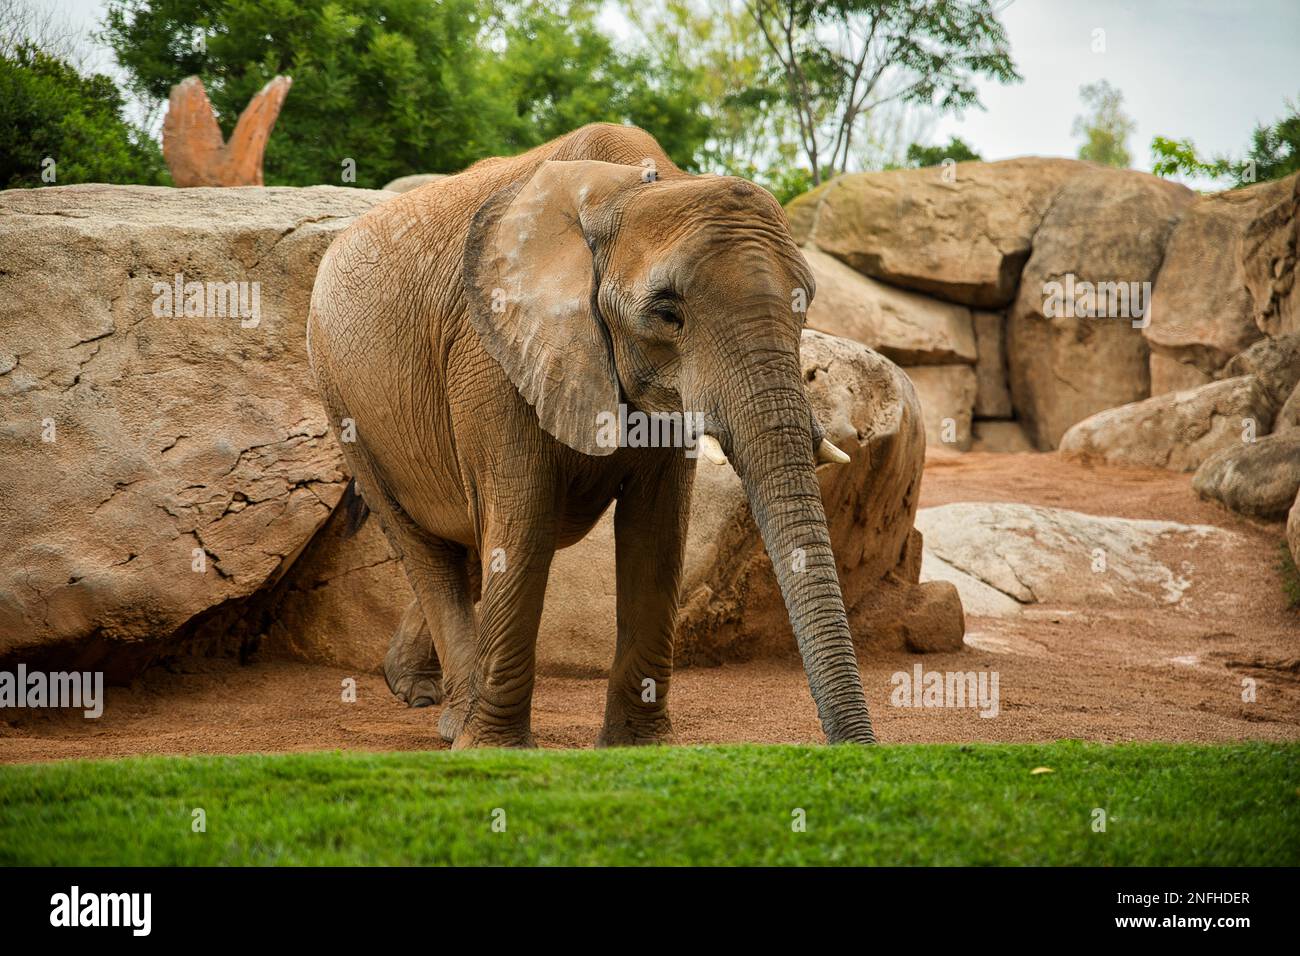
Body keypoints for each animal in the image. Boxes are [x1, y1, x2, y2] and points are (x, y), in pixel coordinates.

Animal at [307, 123, 875, 748]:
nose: (857, 750)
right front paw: (496, 750)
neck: (631, 189)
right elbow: (524, 521)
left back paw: (422, 694)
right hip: (342, 398)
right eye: (667, 314)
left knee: (472, 537)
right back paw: (455, 722)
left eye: (805, 309)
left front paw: (637, 747)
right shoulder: (491, 350)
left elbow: (656, 534)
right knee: (429, 549)